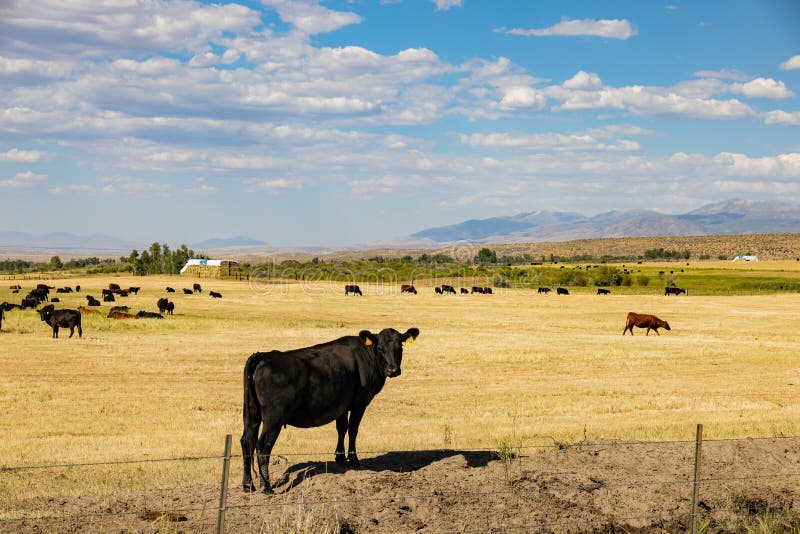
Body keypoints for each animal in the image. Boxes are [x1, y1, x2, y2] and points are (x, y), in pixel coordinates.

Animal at [240, 327, 420, 494]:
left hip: (253, 413)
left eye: (400, 347)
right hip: (273, 418)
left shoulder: (341, 404)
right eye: (380, 348)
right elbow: (353, 429)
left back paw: (248, 485)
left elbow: (341, 428)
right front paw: (354, 460)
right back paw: (267, 486)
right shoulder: (360, 403)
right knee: (262, 446)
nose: (392, 370)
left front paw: (340, 458)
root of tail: (263, 356)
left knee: (246, 441)